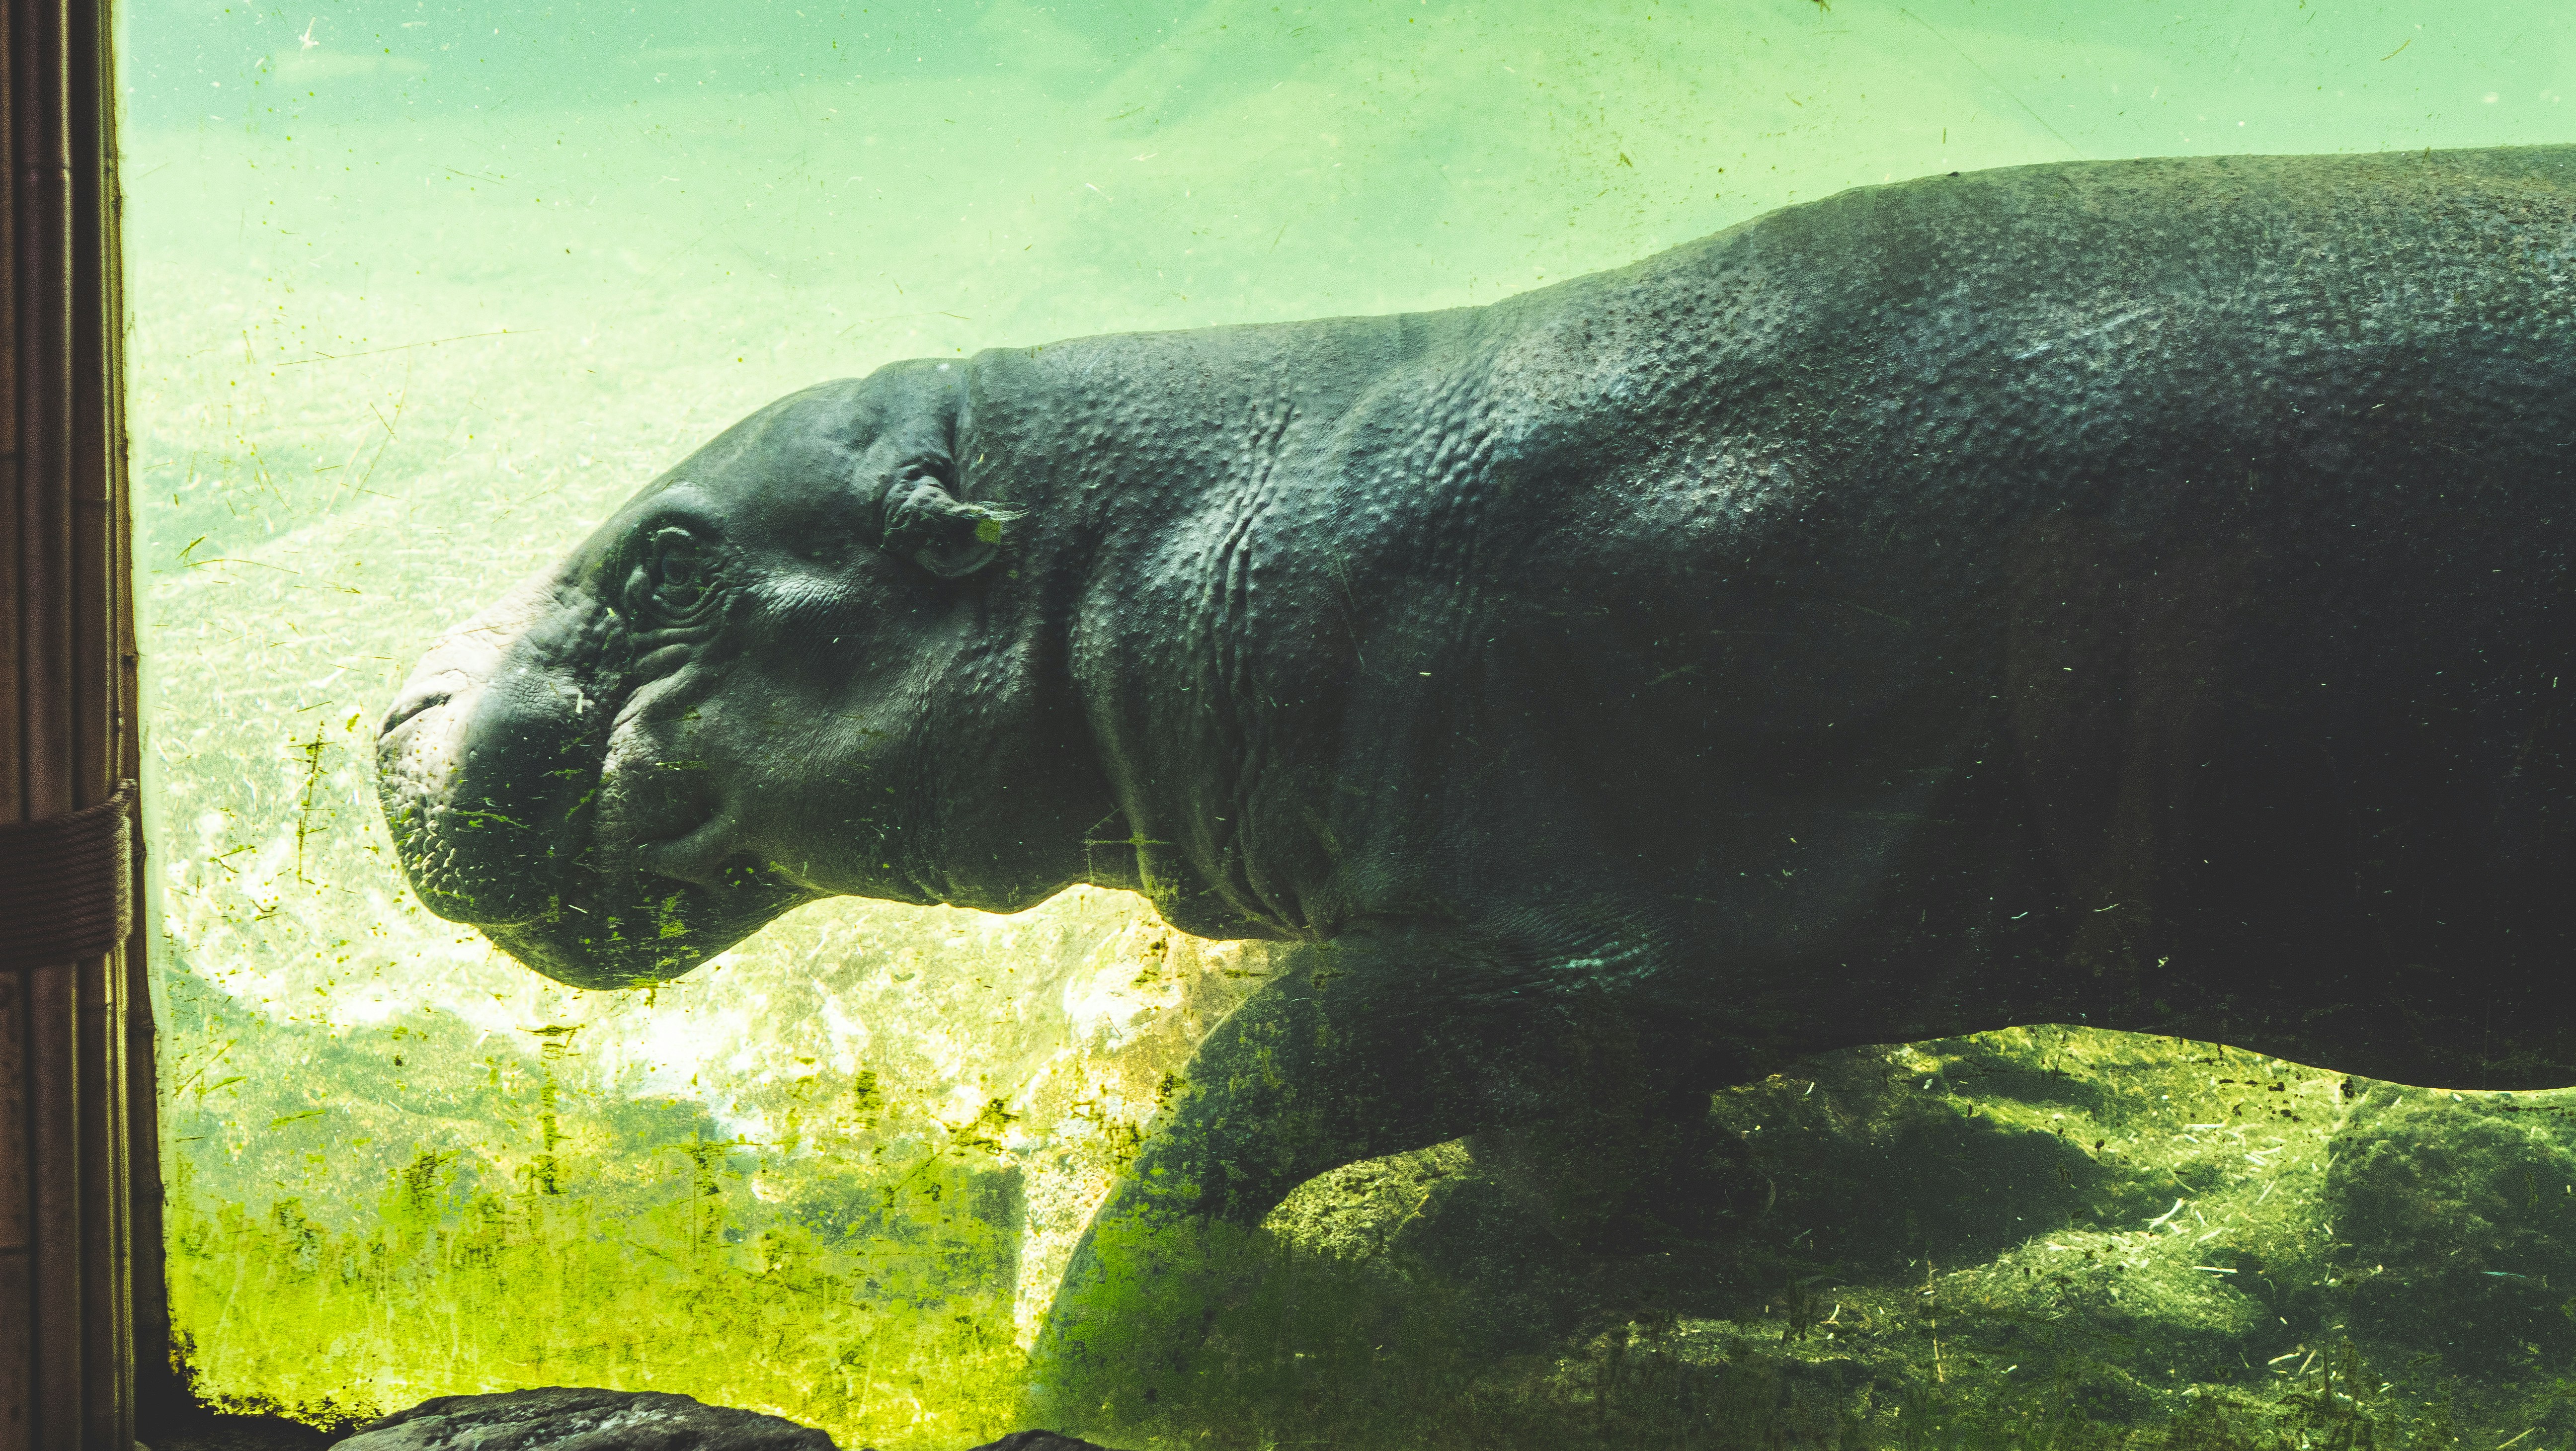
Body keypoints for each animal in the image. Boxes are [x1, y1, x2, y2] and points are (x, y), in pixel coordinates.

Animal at [380, 145, 2576, 1394]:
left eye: (670, 559)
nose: (395, 711)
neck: (1163, 535)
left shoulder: (1594, 943)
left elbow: (1255, 1084)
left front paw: (1112, 1361)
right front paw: (1702, 1213)